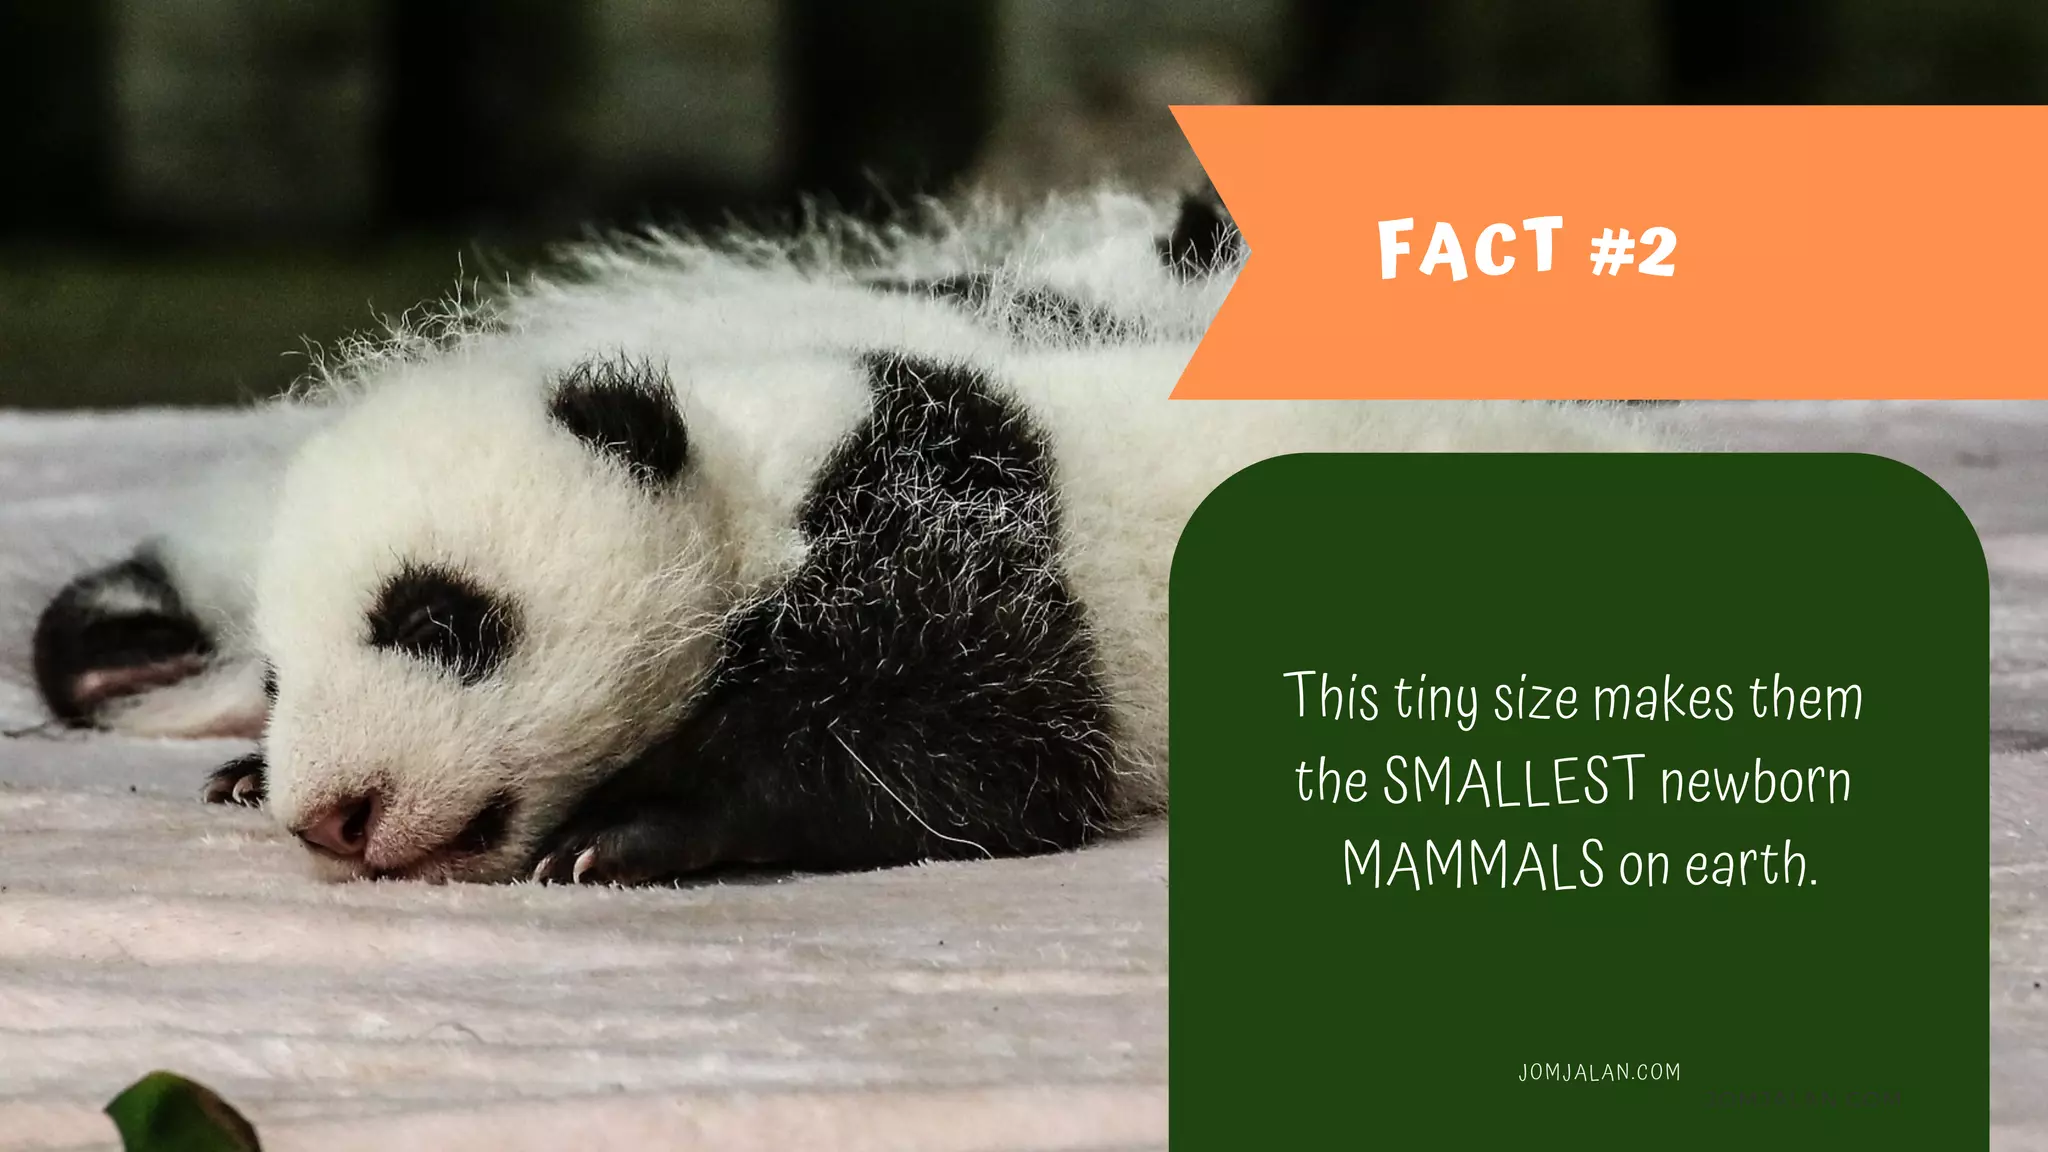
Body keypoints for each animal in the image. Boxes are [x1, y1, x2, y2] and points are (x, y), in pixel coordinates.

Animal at [31, 190, 1662, 885]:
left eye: (437, 620)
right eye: (284, 676)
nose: (335, 814)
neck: (755, 456)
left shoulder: (955, 531)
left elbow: (968, 751)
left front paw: (632, 832)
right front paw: (243, 774)